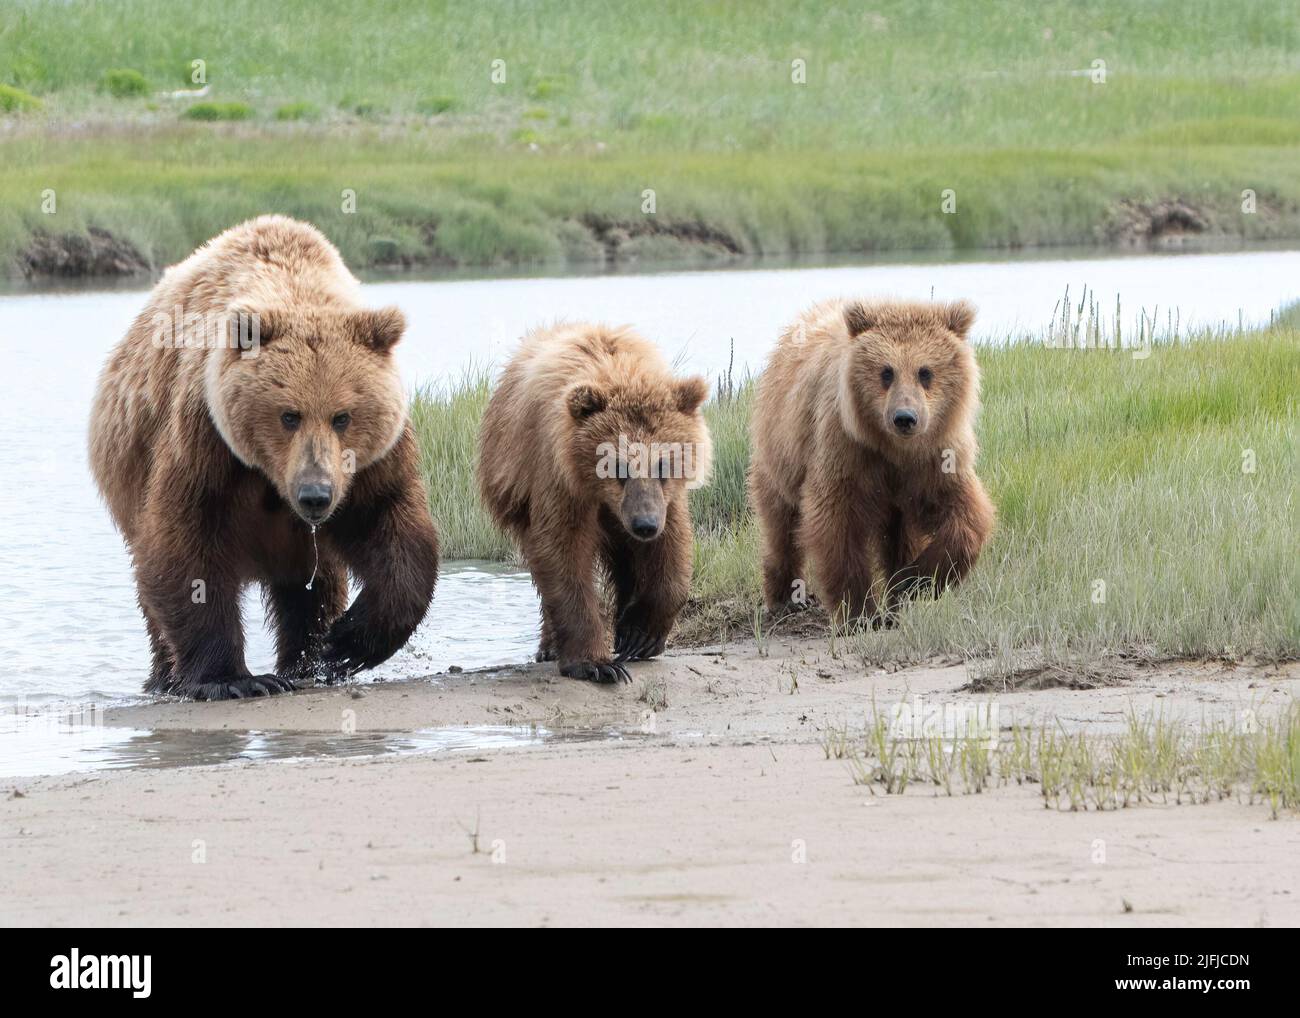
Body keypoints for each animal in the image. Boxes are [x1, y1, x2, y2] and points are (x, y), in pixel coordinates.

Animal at [89, 215, 440, 700]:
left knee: (312, 585)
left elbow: (393, 523)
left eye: (342, 416)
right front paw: (233, 679)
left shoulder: (368, 464)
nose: (315, 495)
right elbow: (187, 545)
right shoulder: (207, 438)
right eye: (289, 415)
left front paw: (346, 642)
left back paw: (306, 662)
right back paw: (167, 677)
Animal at [478, 323, 712, 683]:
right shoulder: (559, 480)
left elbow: (671, 549)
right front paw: (597, 663)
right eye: (617, 466)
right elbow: (563, 550)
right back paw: (549, 646)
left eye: (663, 464)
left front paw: (640, 634)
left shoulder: (665, 500)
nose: (645, 525)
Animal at [749, 298, 994, 622]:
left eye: (925, 372)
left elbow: (965, 515)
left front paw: (913, 581)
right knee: (781, 525)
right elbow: (836, 522)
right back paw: (784, 597)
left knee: (900, 534)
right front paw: (859, 612)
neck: (894, 450)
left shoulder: (936, 459)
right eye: (886, 372)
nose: (905, 418)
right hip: (779, 453)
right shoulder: (845, 449)